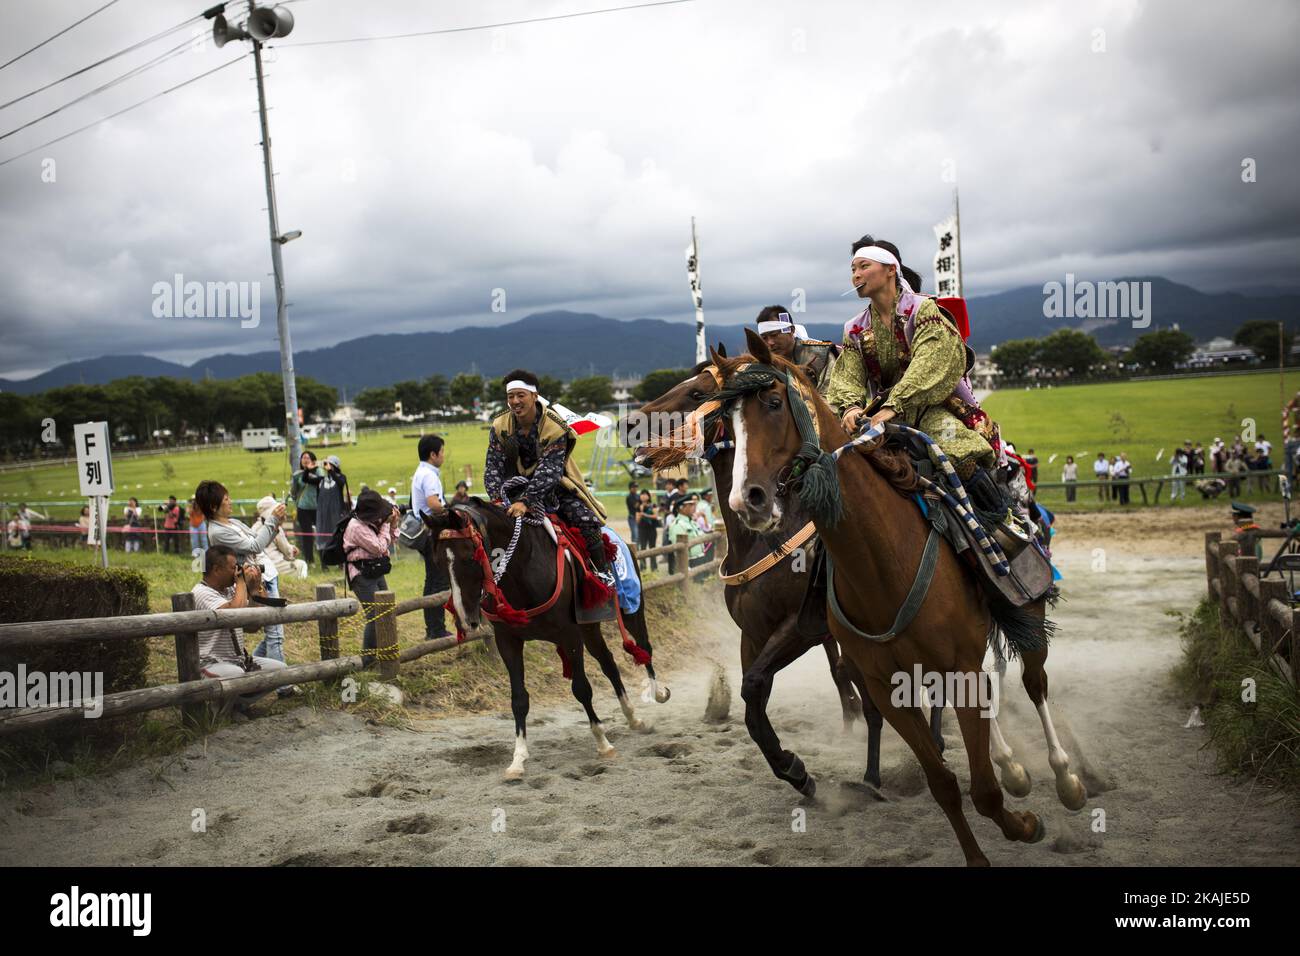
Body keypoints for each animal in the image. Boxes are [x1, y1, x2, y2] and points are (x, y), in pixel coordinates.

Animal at [421, 498, 666, 780]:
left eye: (469, 556)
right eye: (438, 562)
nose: (465, 618)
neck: (521, 570)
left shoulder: (569, 635)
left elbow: (581, 689)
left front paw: (603, 742)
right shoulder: (508, 641)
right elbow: (519, 699)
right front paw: (518, 759)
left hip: (630, 606)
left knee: (643, 647)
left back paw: (657, 692)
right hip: (589, 626)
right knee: (609, 663)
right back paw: (632, 717)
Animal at [629, 356, 899, 798]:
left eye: (697, 393)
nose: (632, 421)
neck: (763, 537)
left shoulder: (798, 628)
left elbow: (755, 685)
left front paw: (795, 766)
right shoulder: (754, 634)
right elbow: (753, 703)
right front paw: (794, 770)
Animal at [717, 329, 1085, 865]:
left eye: (771, 402)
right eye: (726, 420)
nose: (749, 500)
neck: (882, 559)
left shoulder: (954, 665)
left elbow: (983, 789)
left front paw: (1024, 823)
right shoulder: (881, 680)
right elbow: (945, 783)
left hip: (1027, 613)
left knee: (1035, 685)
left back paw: (1067, 776)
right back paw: (1013, 765)